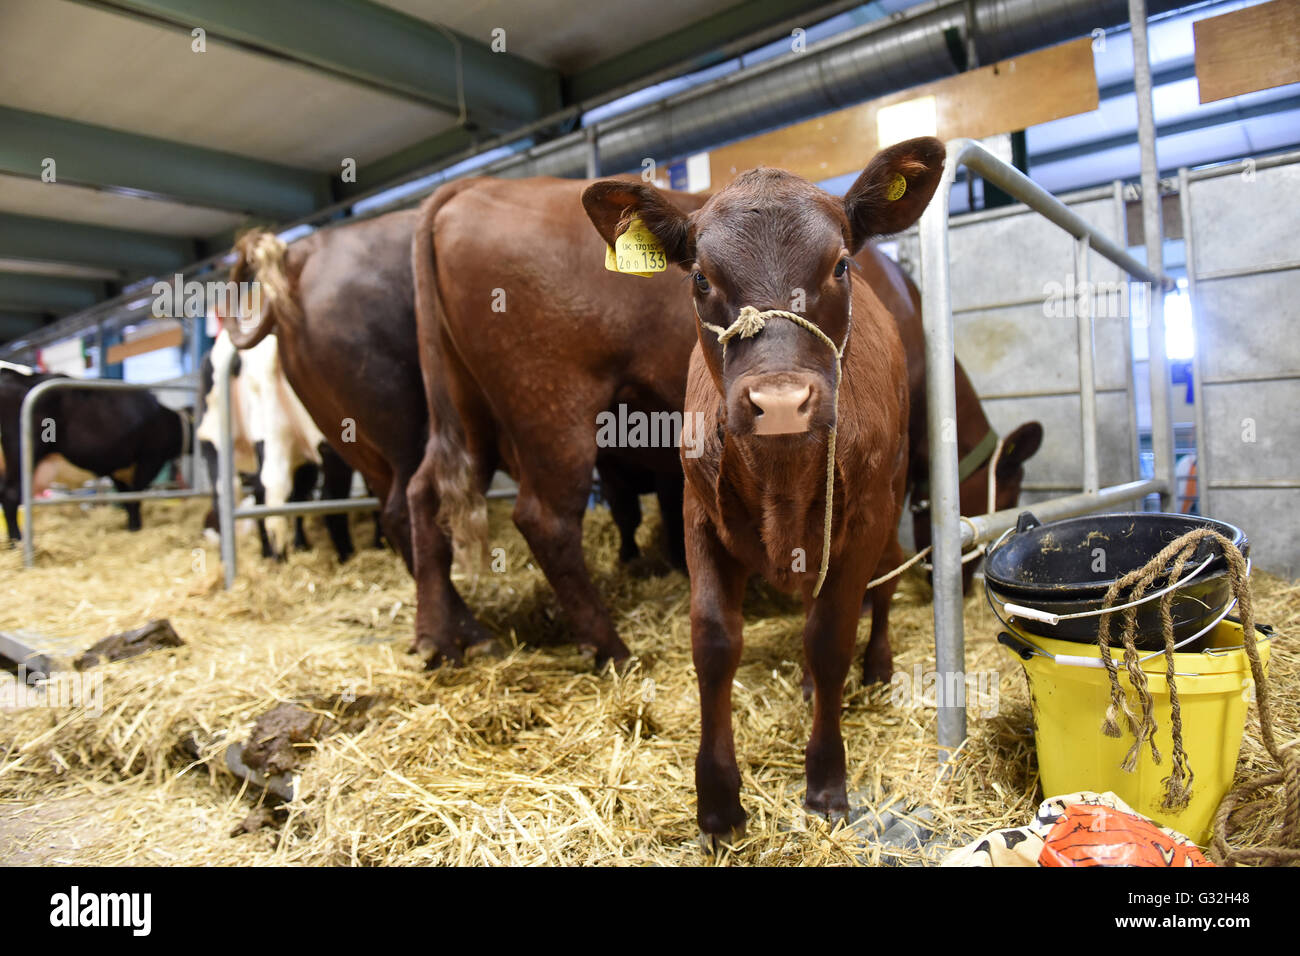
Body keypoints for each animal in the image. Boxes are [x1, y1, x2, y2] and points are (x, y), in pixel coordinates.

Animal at [0, 365, 190, 541]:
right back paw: (16, 540)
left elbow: (126, 497)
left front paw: (131, 526)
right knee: (10, 494)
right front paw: (136, 527)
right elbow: (135, 497)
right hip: (22, 452)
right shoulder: (150, 459)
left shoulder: (117, 467)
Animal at [582, 137, 947, 844]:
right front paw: (718, 801)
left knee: (882, 585)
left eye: (839, 265)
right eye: (700, 277)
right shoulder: (697, 514)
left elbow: (832, 636)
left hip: (891, 496)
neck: (782, 474)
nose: (780, 401)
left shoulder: (863, 519)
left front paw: (826, 781)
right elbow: (715, 642)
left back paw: (877, 666)